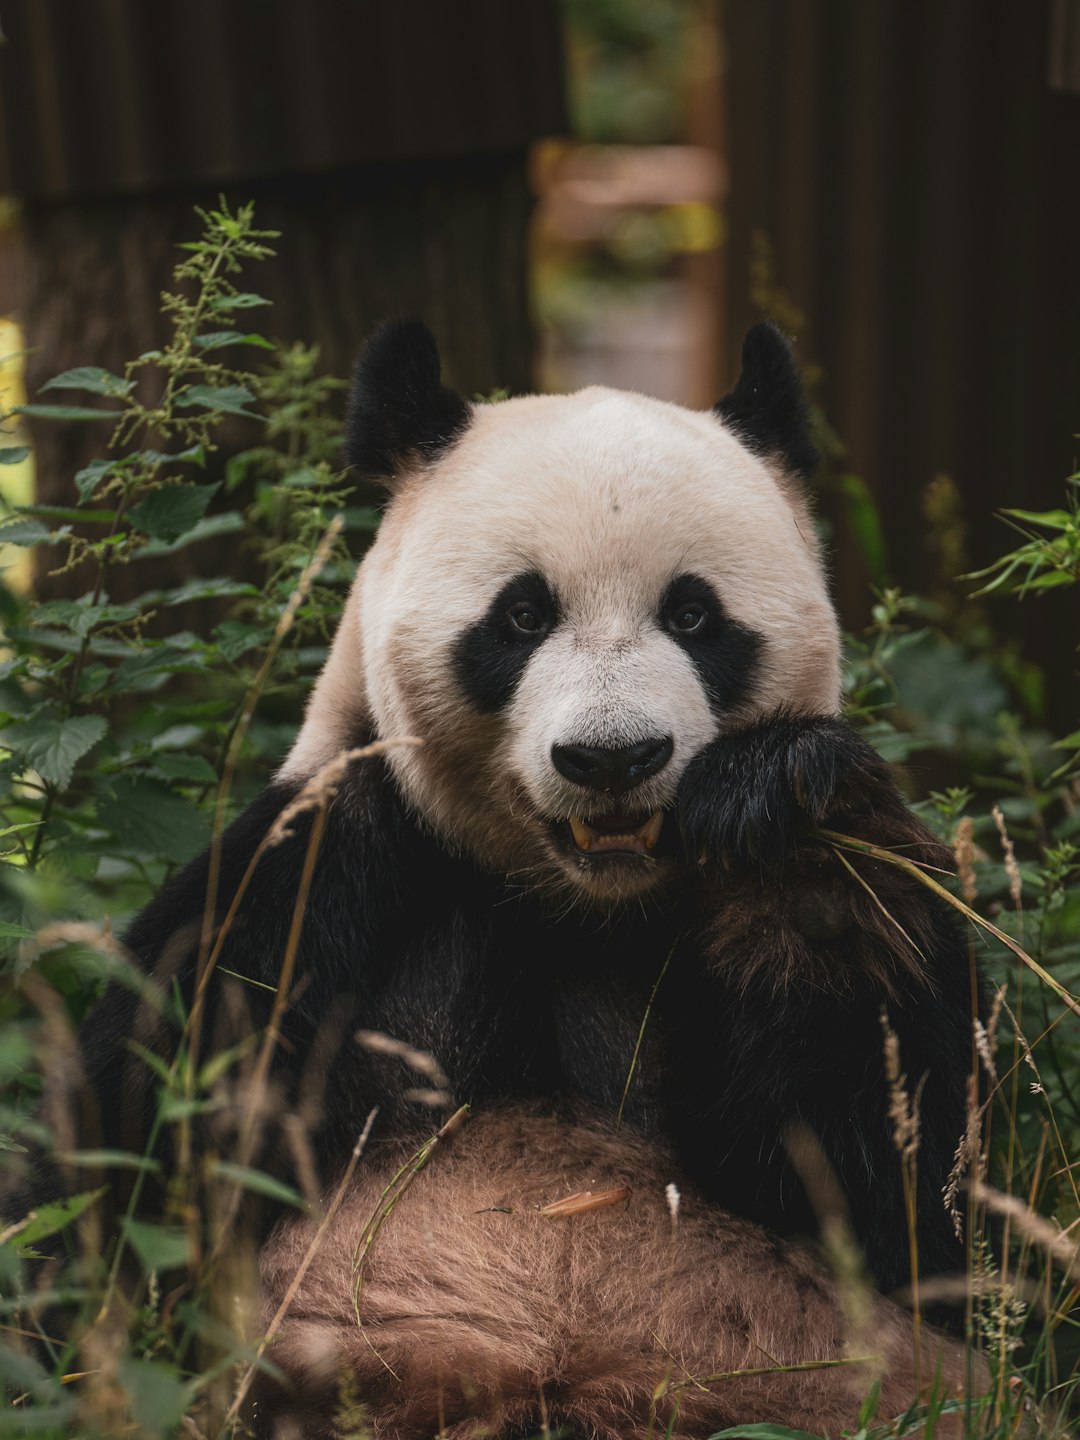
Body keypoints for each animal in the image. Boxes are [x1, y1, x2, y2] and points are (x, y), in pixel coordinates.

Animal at [58, 319, 977, 1434]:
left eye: (694, 615)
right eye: (524, 615)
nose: (613, 758)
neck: (577, 903)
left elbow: (894, 1198)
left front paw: (787, 827)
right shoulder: (322, 873)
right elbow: (130, 1149)